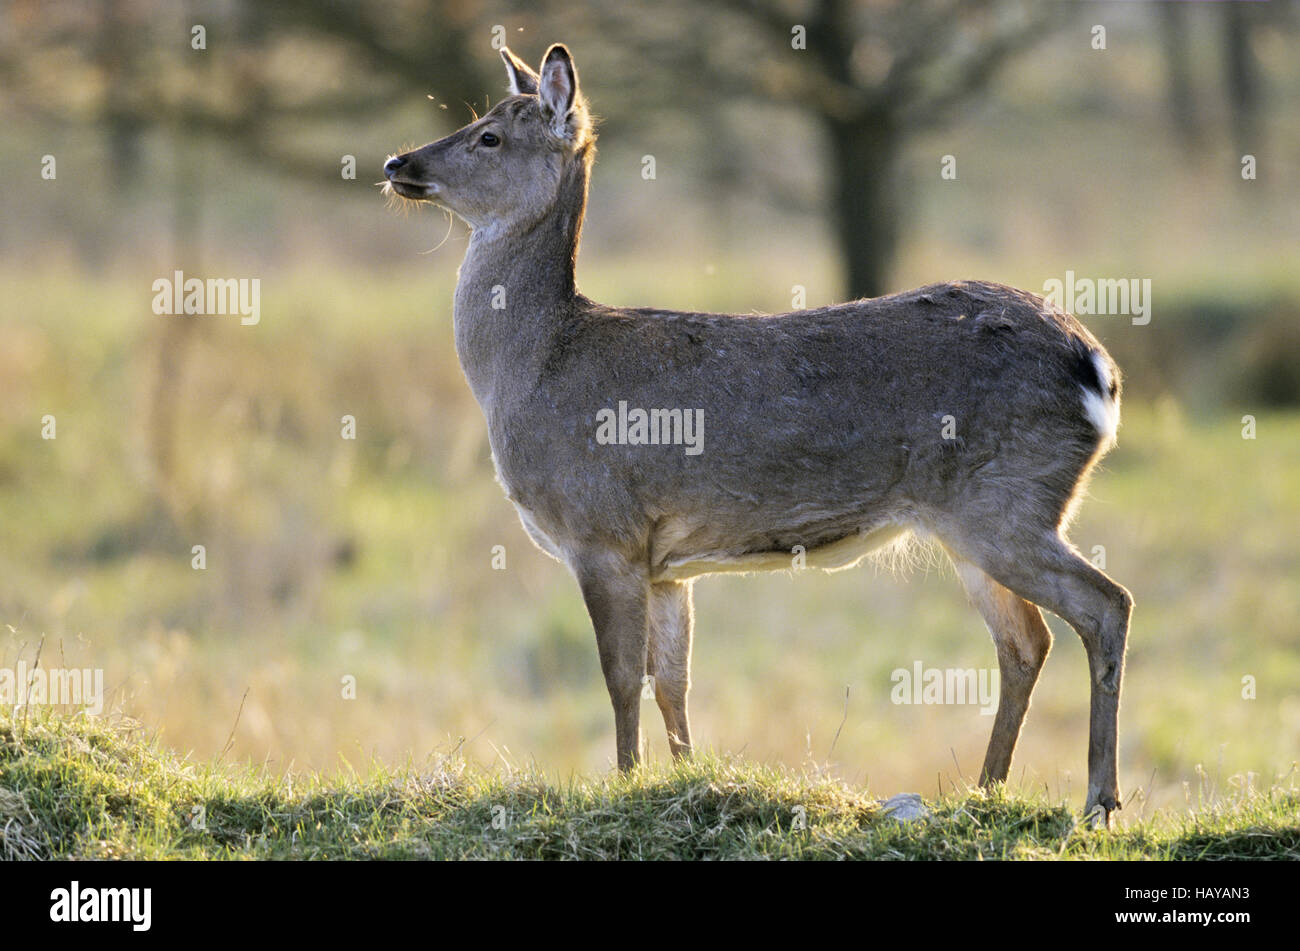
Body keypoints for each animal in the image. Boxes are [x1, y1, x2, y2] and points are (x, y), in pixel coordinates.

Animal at [379, 42, 1133, 826]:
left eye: (489, 136)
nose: (397, 162)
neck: (531, 370)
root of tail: (1097, 370)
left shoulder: (601, 530)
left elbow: (618, 676)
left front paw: (624, 783)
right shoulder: (665, 562)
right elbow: (671, 678)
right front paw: (686, 781)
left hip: (1004, 499)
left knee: (1105, 605)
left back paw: (1098, 799)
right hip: (978, 519)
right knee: (1026, 641)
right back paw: (984, 789)